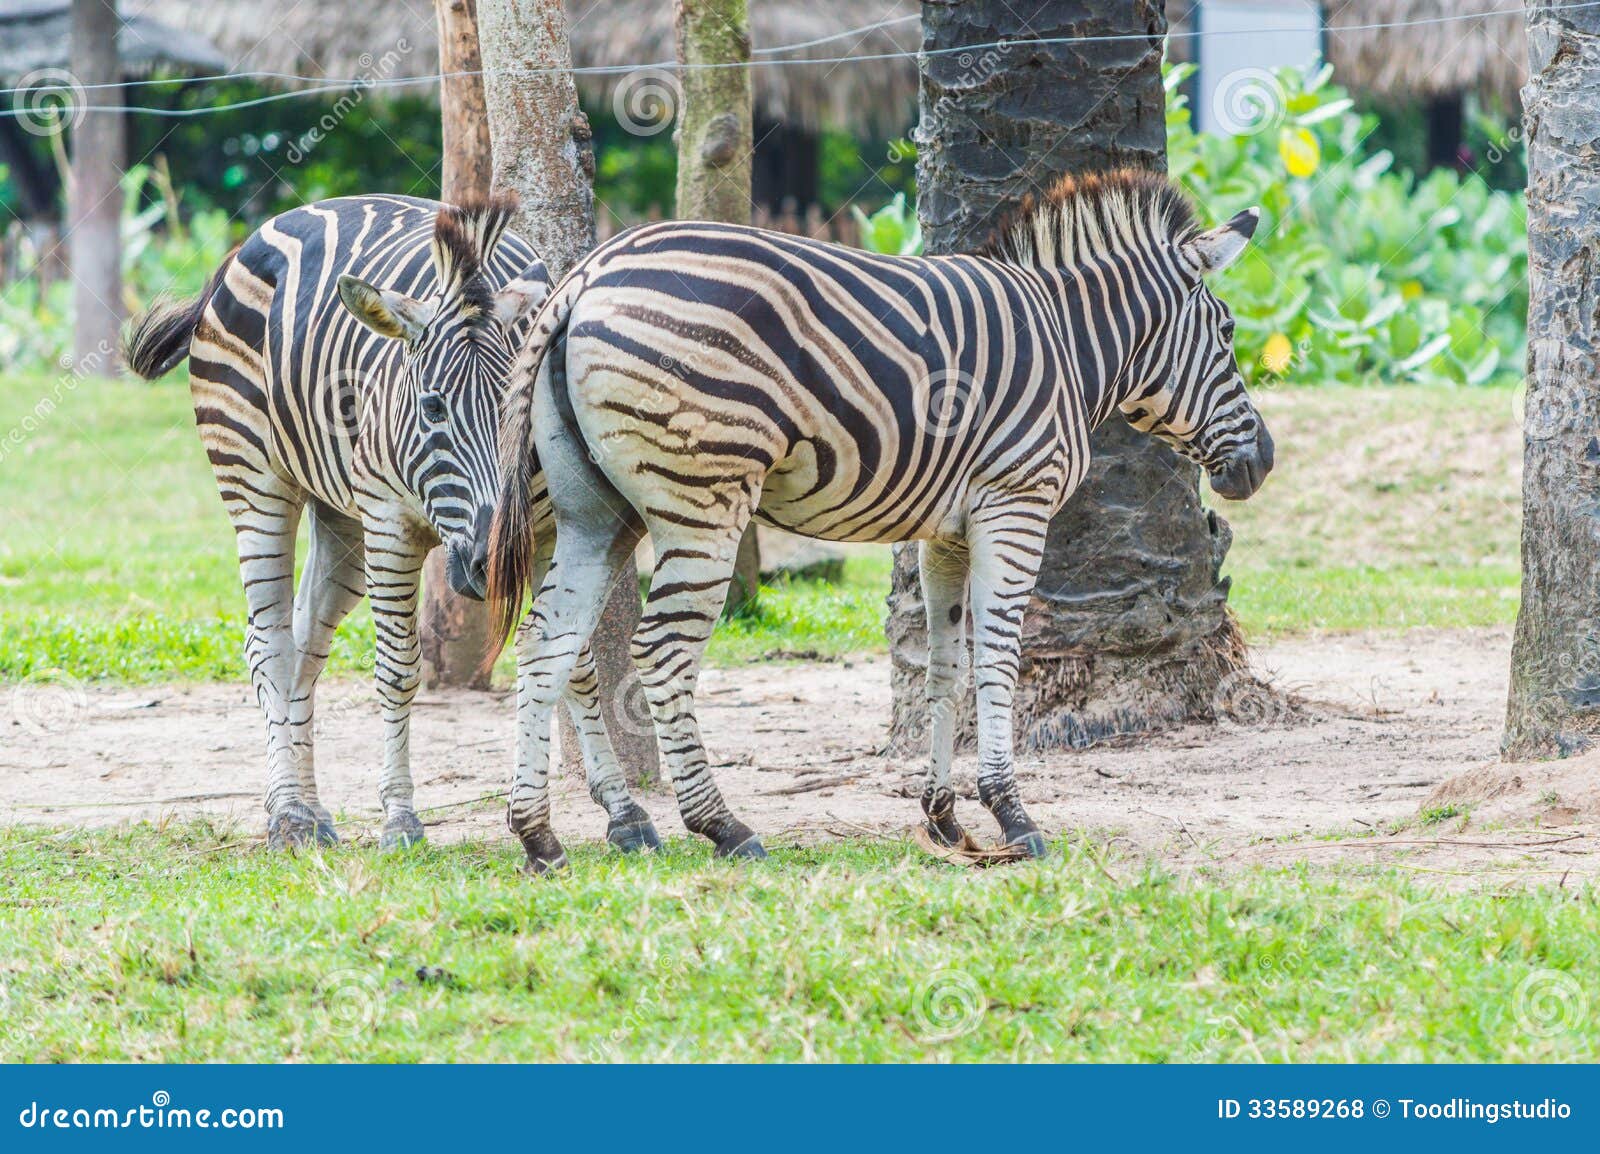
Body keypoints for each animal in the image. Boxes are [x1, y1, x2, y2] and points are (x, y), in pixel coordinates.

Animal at [123, 194, 660, 854]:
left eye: (520, 404)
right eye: (432, 408)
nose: (486, 565)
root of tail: (255, 237)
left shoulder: (545, 529)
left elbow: (577, 663)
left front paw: (624, 811)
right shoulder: (389, 526)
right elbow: (399, 670)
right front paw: (400, 818)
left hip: (341, 518)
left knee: (305, 639)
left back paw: (311, 811)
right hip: (256, 480)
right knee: (268, 642)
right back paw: (287, 815)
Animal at [483, 168, 1273, 873]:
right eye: (1230, 331)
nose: (1262, 461)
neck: (1066, 342)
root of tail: (585, 277)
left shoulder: (946, 534)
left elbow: (947, 667)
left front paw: (945, 817)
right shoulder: (1015, 505)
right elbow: (999, 662)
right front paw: (1013, 814)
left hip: (596, 512)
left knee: (549, 643)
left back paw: (538, 835)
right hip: (702, 502)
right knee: (660, 652)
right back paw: (722, 826)